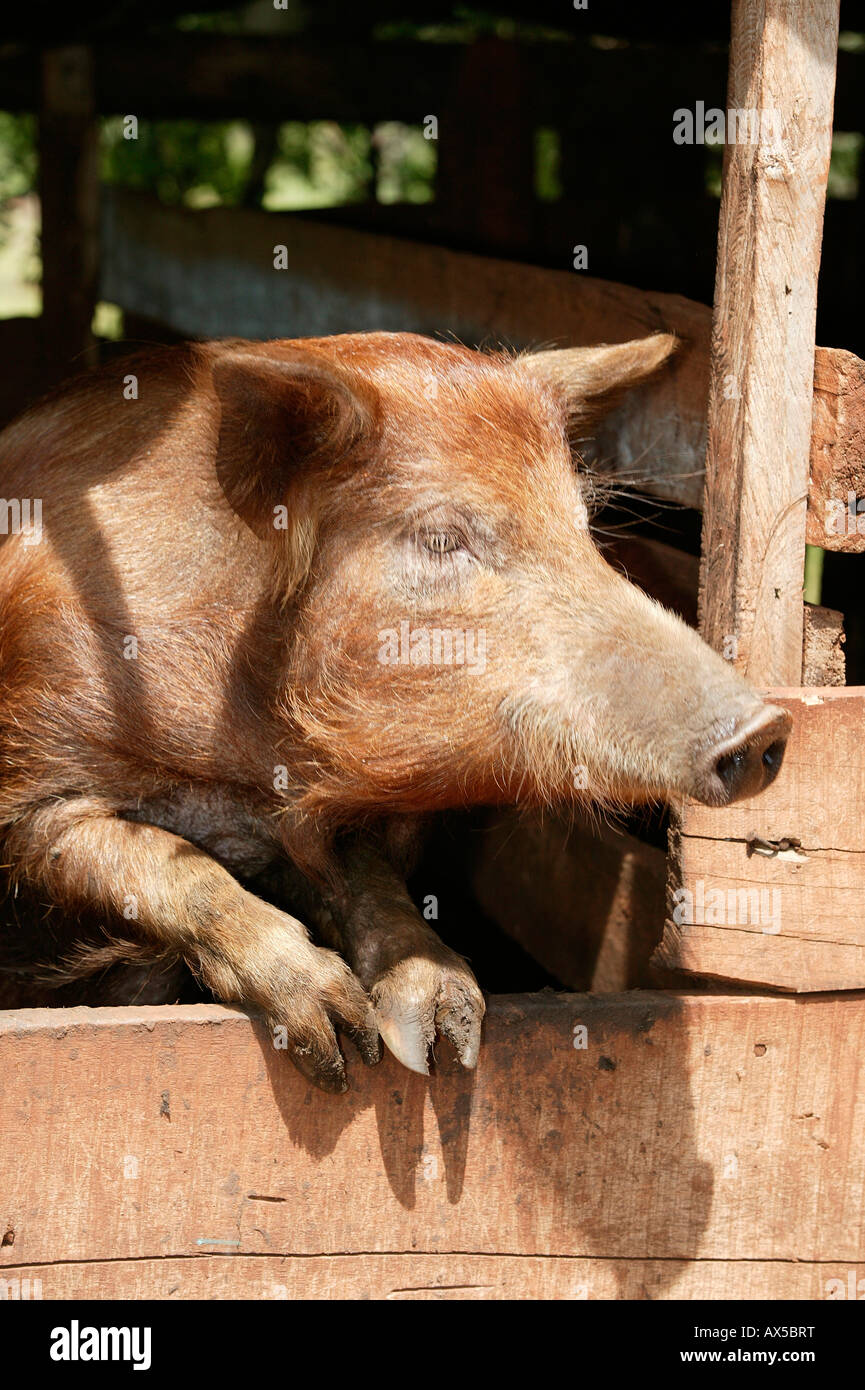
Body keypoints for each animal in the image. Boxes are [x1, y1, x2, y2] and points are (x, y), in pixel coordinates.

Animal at [0, 331, 790, 1089]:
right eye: (441, 538)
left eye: (581, 527)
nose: (769, 728)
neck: (249, 751)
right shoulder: (34, 778)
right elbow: (168, 864)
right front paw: (337, 1044)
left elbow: (370, 881)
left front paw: (442, 1039)